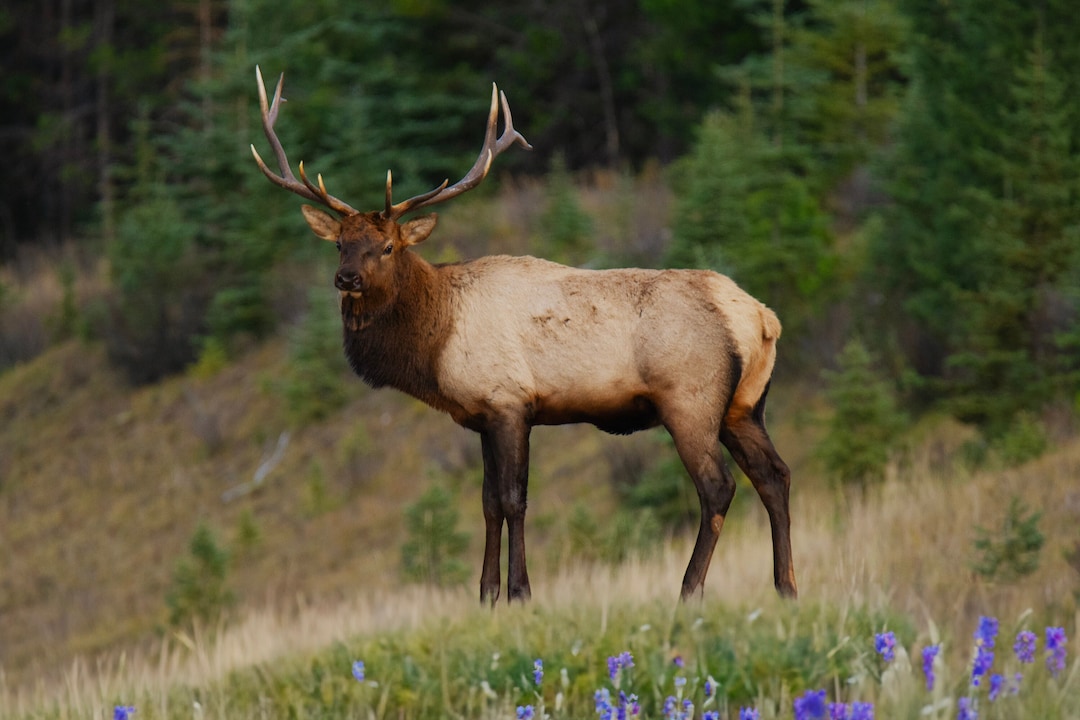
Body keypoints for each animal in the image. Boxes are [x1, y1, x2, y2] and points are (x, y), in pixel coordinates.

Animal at [250, 66, 798, 605]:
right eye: (340, 244)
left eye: (387, 247)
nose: (346, 279)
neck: (434, 344)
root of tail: (761, 318)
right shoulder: (480, 417)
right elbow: (488, 503)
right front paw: (486, 594)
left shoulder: (510, 403)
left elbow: (514, 500)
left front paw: (519, 592)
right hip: (745, 405)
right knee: (775, 475)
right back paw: (786, 587)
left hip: (690, 399)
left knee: (717, 487)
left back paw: (689, 591)